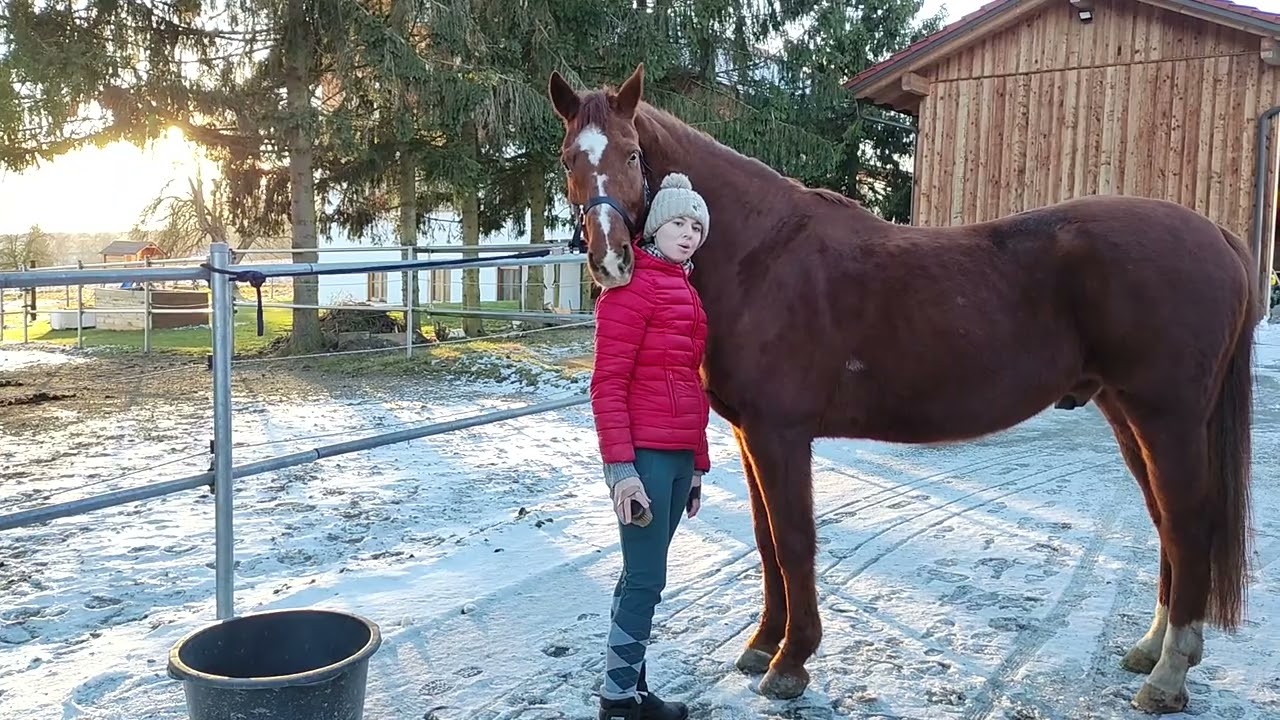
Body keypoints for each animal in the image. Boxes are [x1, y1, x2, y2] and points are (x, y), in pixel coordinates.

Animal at [547, 63, 1258, 715]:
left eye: (633, 153)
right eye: (567, 159)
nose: (611, 260)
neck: (762, 256)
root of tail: (1218, 235)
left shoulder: (781, 435)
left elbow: (794, 541)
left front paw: (791, 661)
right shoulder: (751, 435)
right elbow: (766, 539)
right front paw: (763, 644)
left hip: (1166, 417)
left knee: (1188, 523)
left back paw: (1167, 676)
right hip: (1126, 413)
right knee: (1166, 523)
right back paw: (1151, 650)